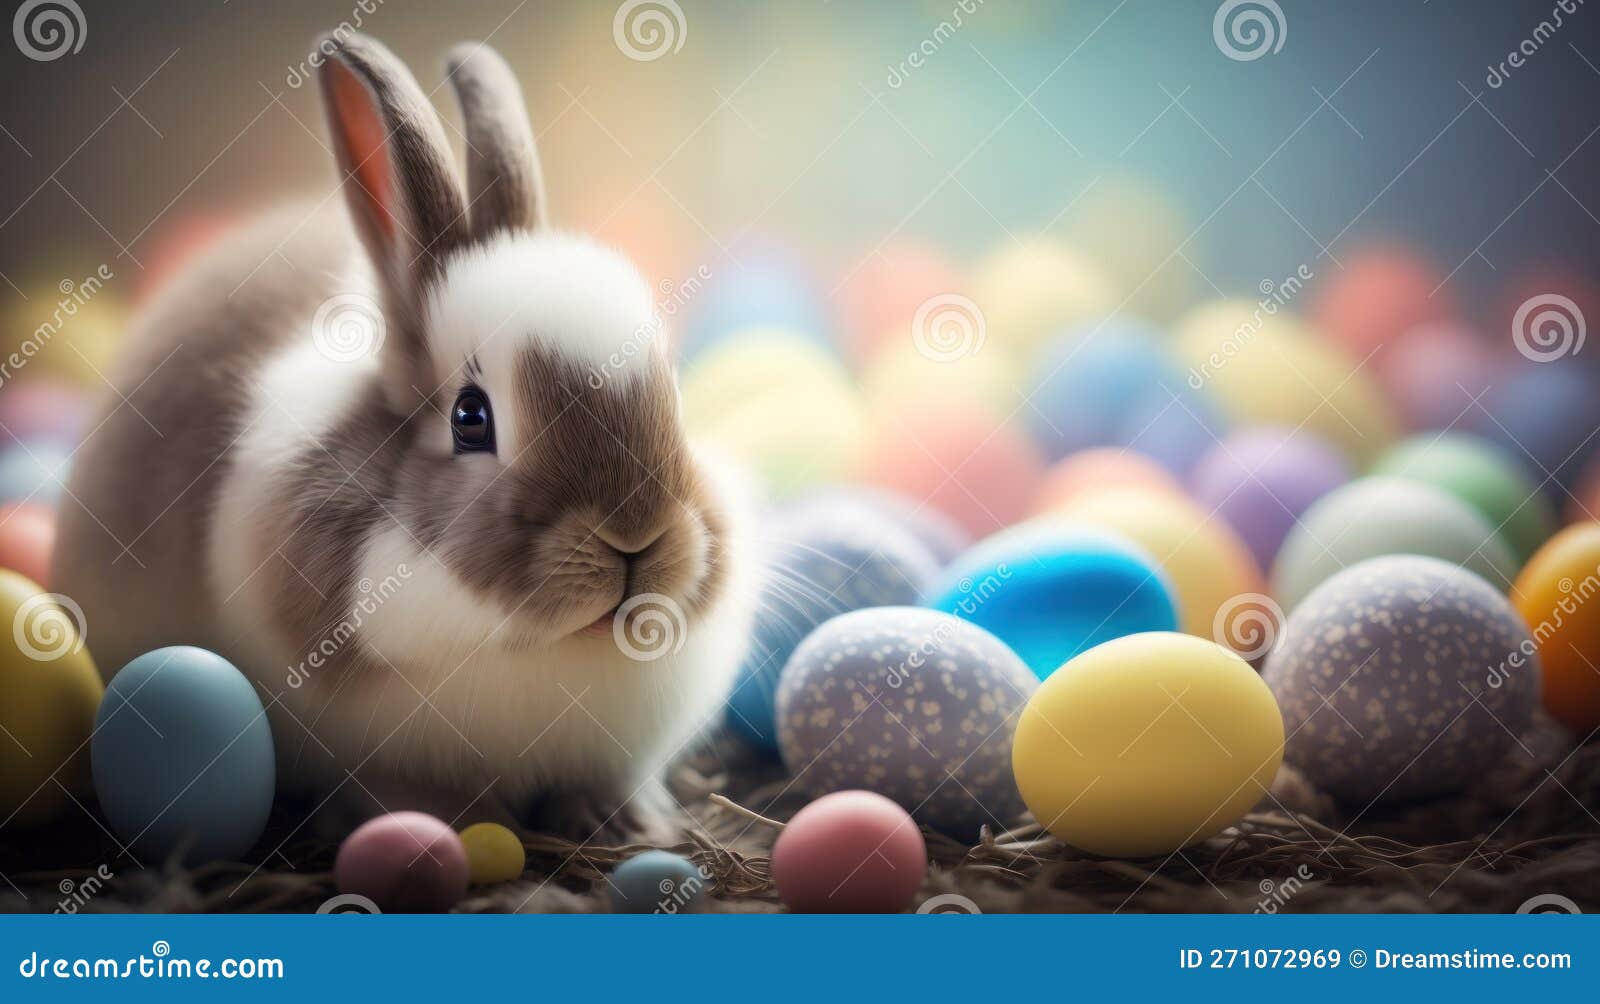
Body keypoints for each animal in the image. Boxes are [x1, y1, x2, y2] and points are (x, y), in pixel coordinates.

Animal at [50, 32, 755, 843]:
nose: (635, 534)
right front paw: (465, 821)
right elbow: (399, 788)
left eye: (674, 392)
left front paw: (626, 822)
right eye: (470, 418)